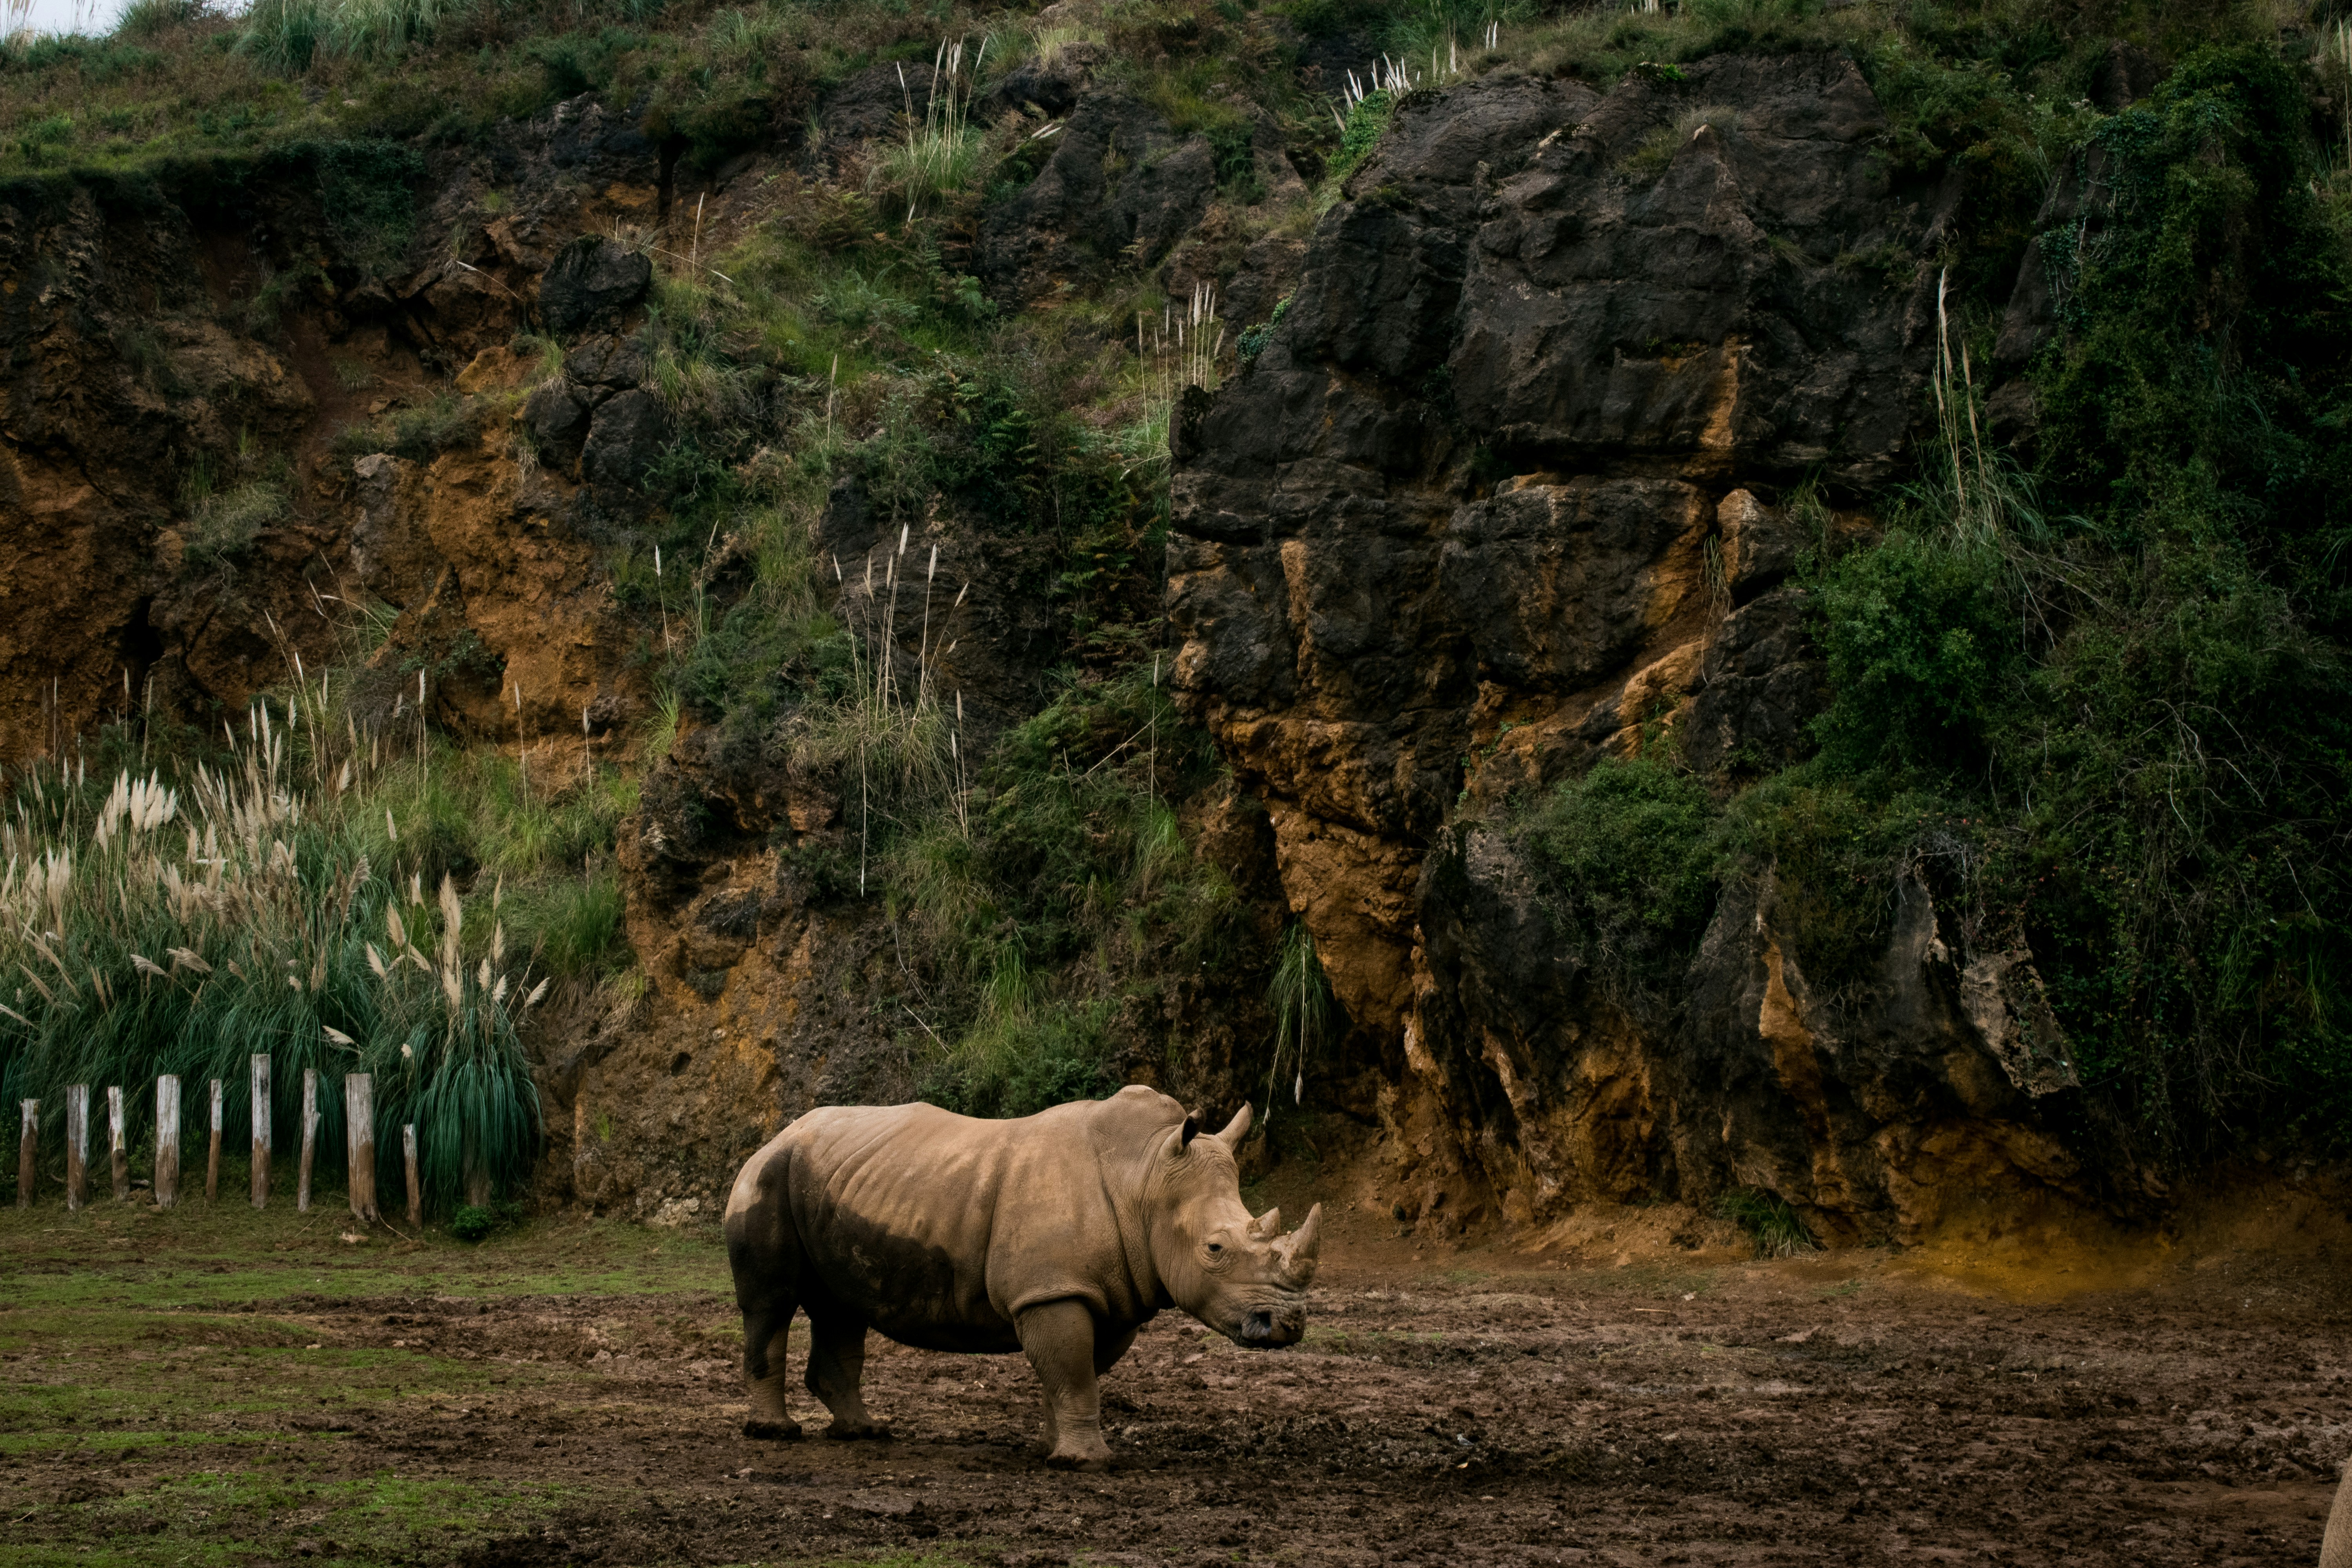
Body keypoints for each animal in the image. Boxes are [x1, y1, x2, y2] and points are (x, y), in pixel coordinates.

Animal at [723, 1085, 1321, 1470]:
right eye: (1215, 1249)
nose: (1288, 1325)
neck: (1146, 1176)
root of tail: (778, 1133)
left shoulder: (1104, 1293)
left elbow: (1071, 1374)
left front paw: (1052, 1451)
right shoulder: (1052, 1291)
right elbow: (1073, 1373)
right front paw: (1088, 1464)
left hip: (837, 1180)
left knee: (843, 1308)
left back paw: (865, 1432)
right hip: (767, 1175)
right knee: (771, 1304)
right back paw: (776, 1433)